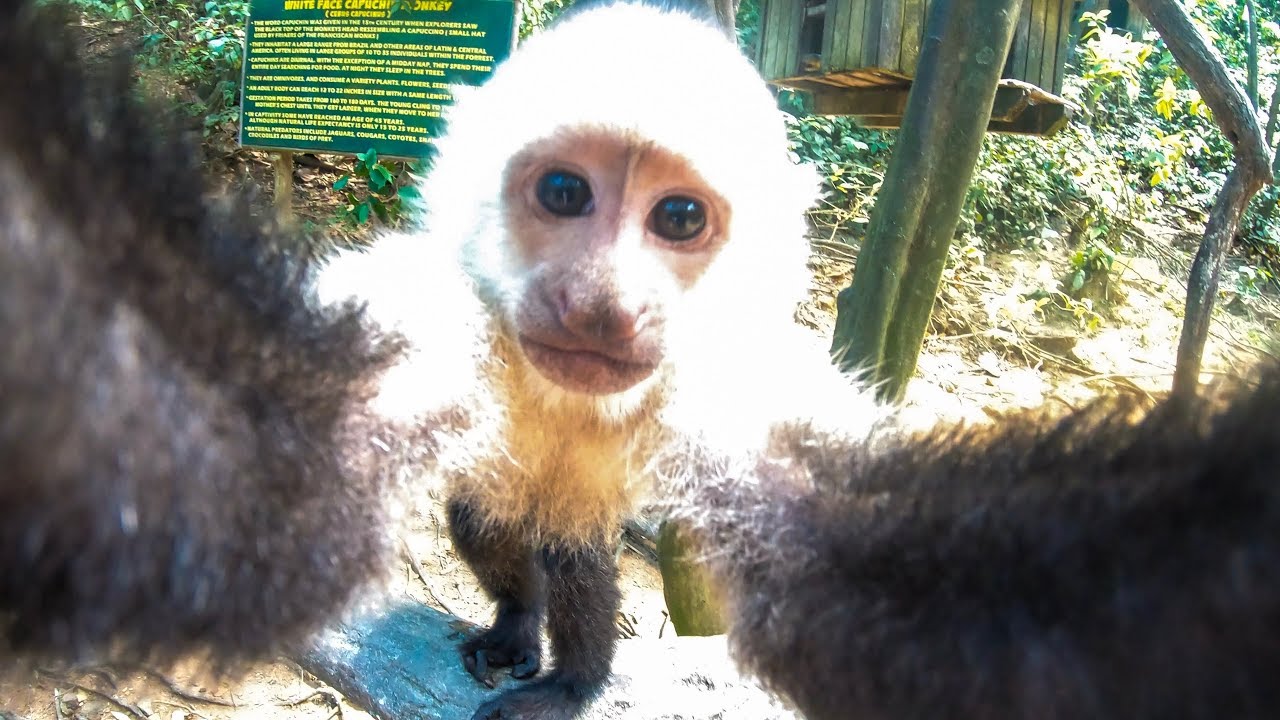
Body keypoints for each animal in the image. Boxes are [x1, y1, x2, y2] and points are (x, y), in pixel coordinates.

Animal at [313, 1, 887, 718]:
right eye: (564, 191)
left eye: (679, 216)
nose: (601, 303)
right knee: (484, 516)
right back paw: (518, 622)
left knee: (570, 548)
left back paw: (576, 680)